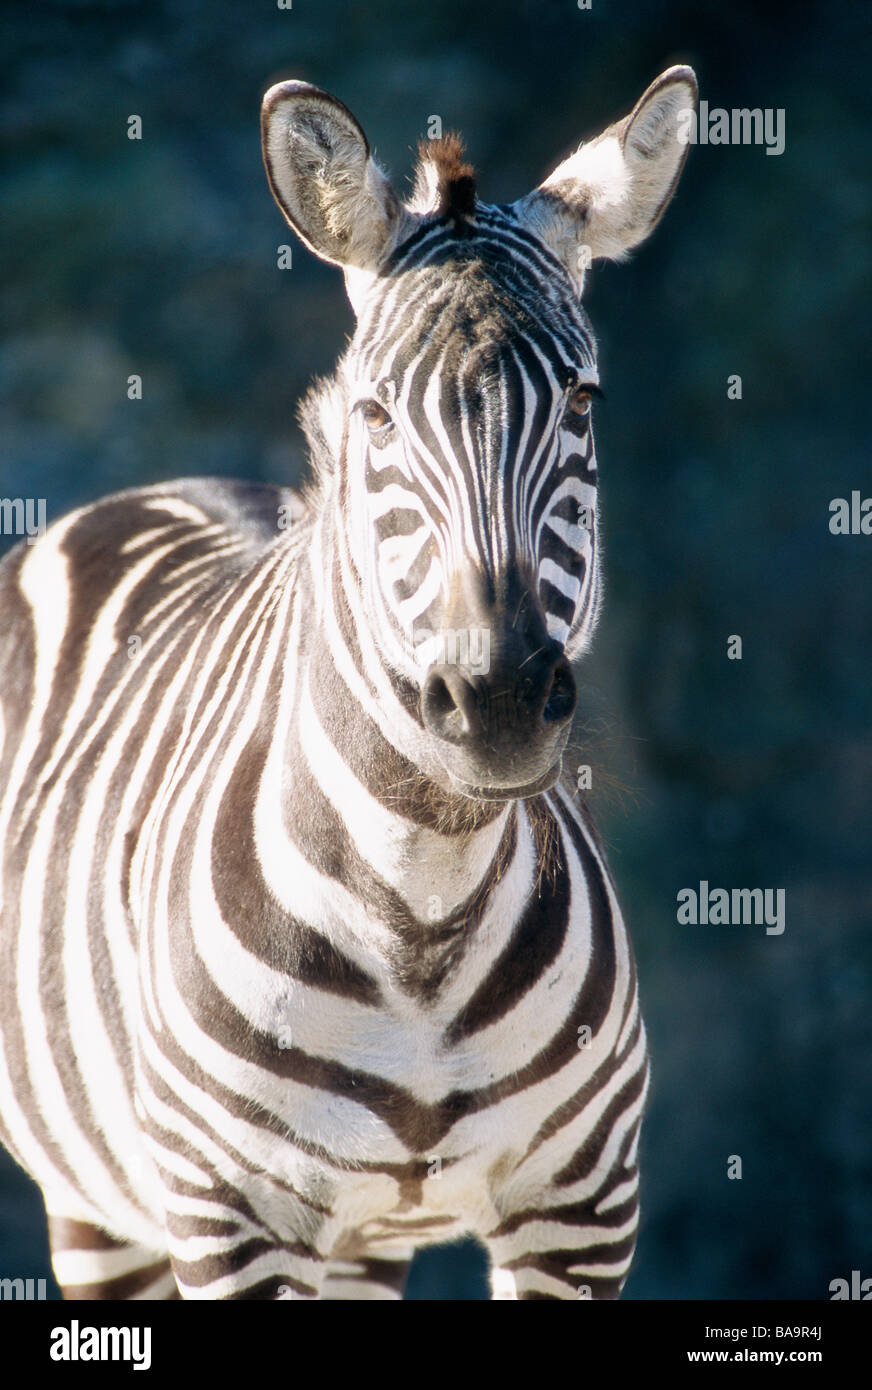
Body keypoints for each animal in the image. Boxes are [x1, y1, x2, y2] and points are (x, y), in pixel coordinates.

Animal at [0, 65, 696, 1300]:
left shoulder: (580, 1213)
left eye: (583, 404)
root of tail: (172, 485)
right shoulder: (225, 1217)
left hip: (361, 1242)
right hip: (100, 1198)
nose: (495, 703)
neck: (422, 905)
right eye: (373, 413)